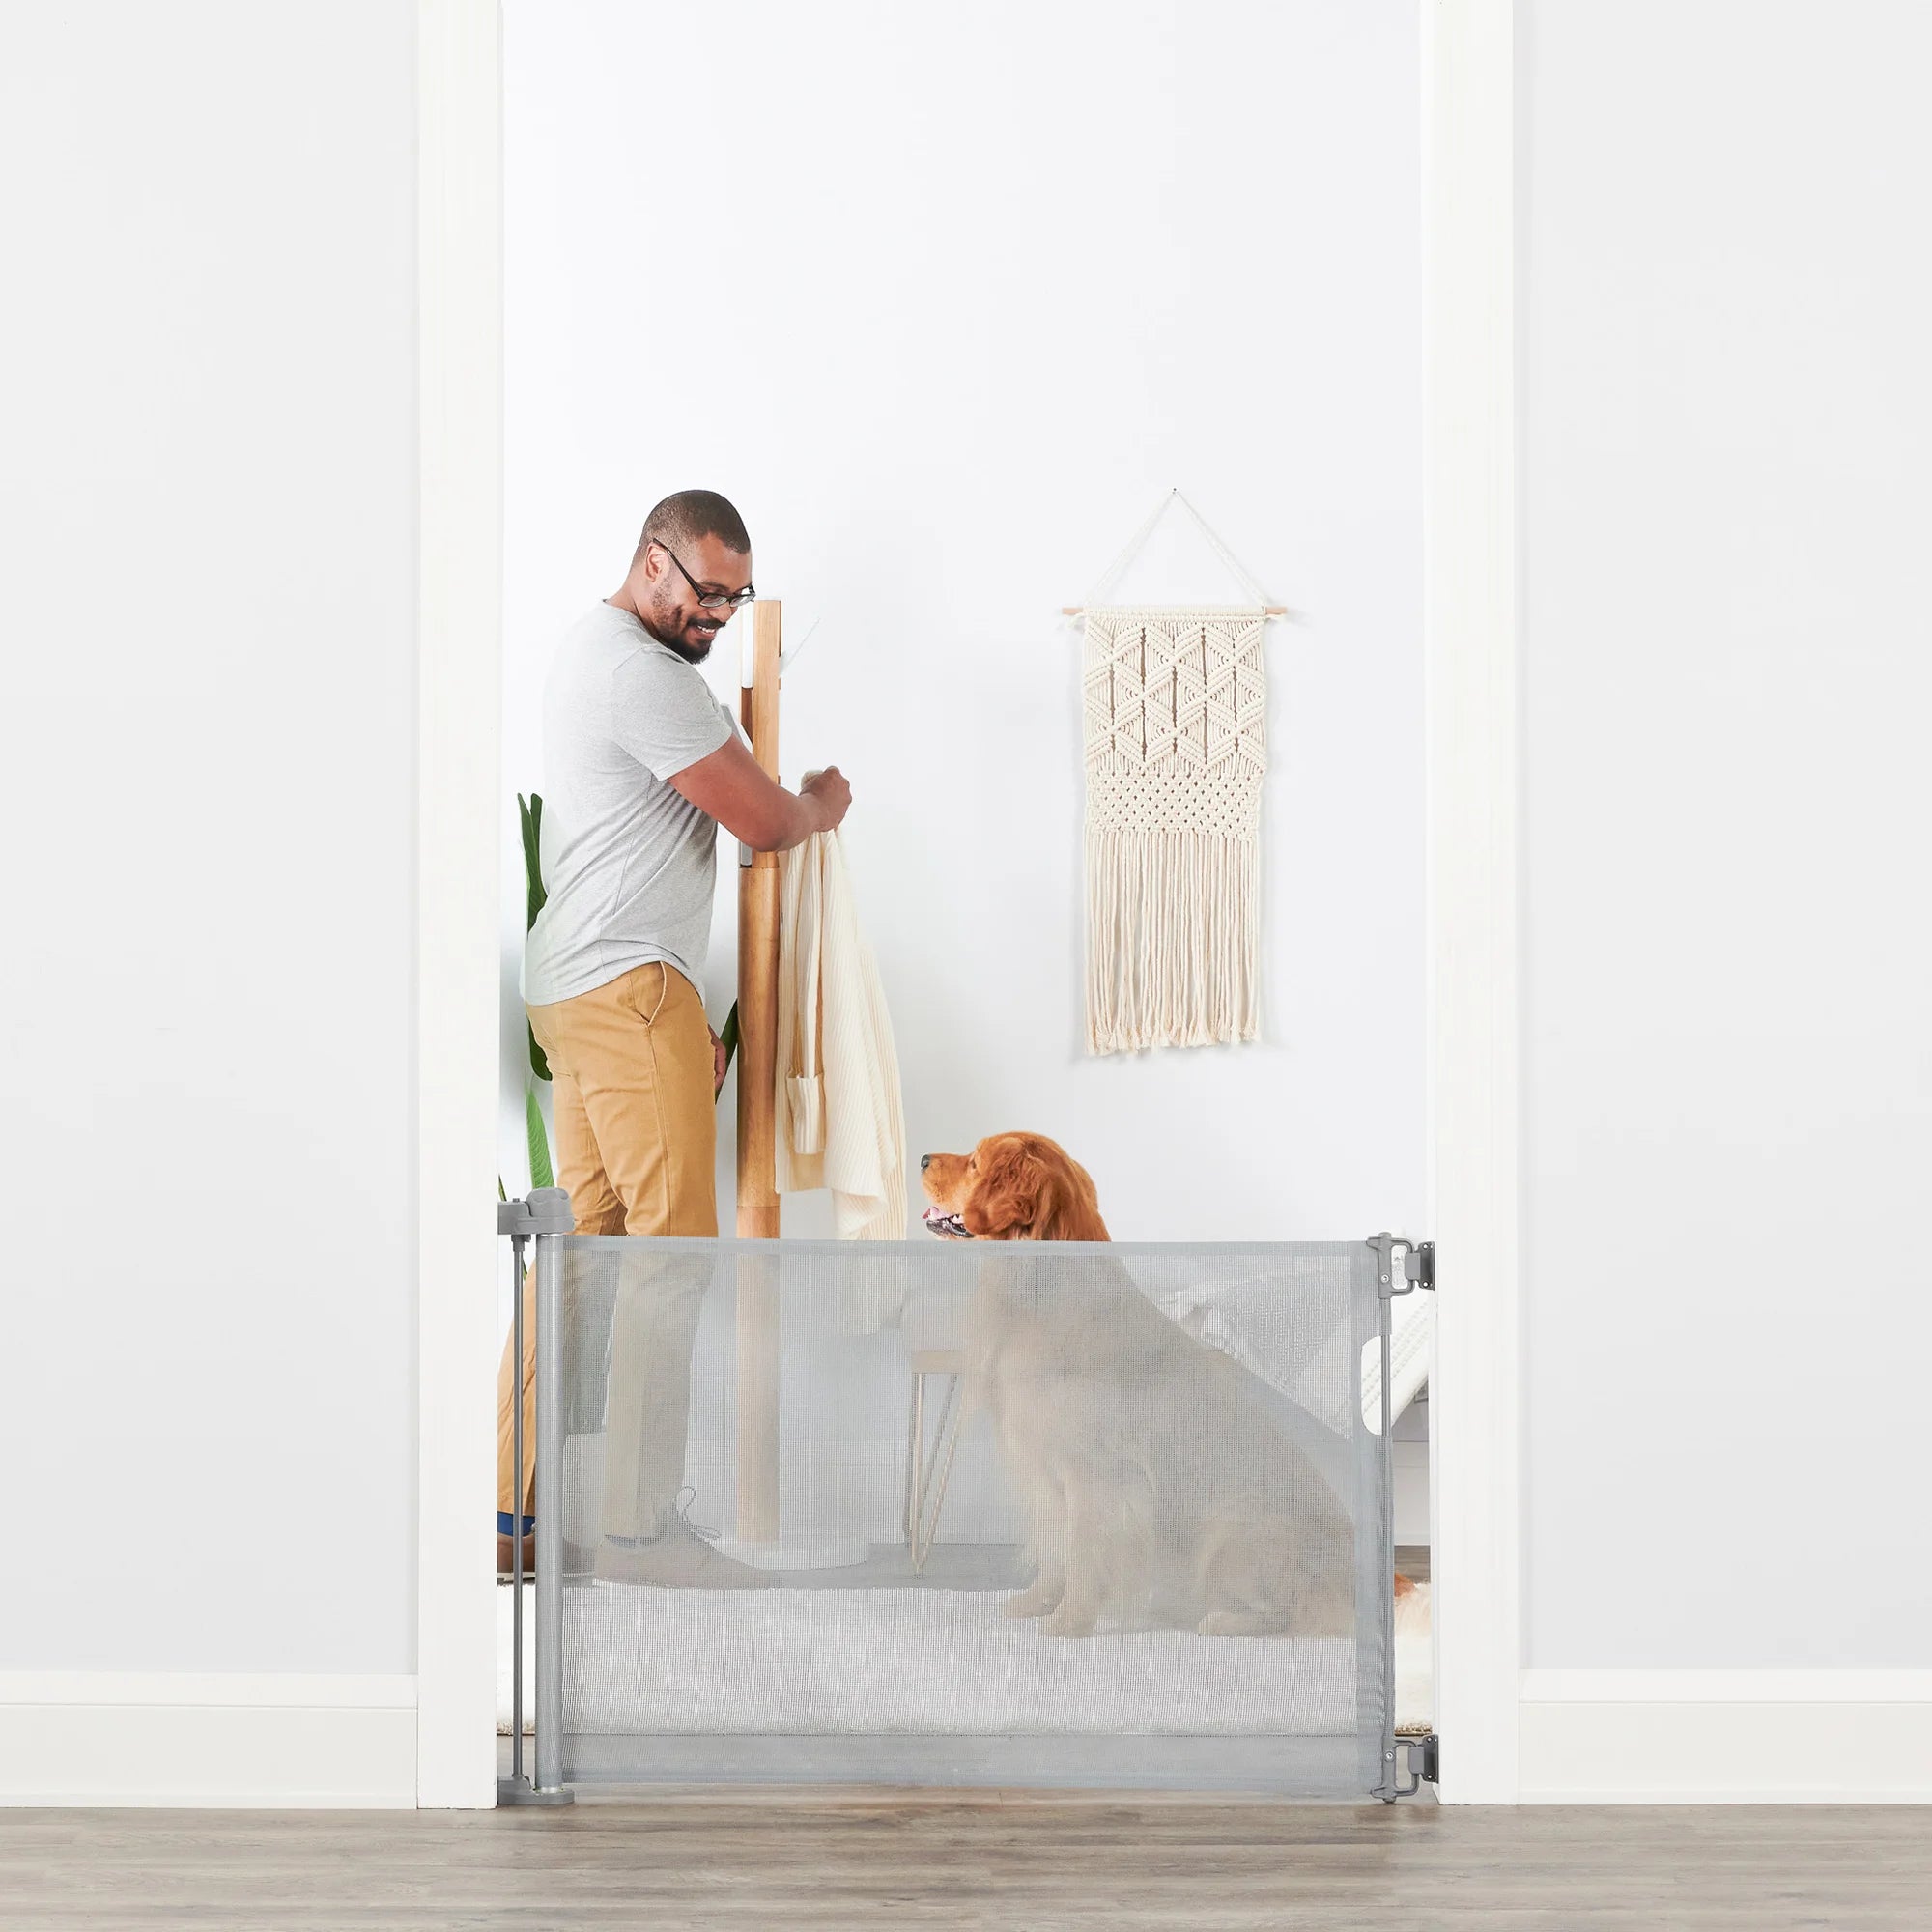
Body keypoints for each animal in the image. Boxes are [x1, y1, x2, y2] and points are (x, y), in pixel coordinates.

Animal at [920, 1128, 1360, 1646]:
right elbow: (1055, 1549)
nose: (922, 1158)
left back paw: (1222, 1620)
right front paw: (1037, 1602)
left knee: (1295, 1614)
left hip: (1234, 1533)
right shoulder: (1047, 1471)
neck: (1038, 1288)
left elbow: (1084, 1555)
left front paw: (1070, 1621)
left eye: (974, 1163)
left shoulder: (1097, 1476)